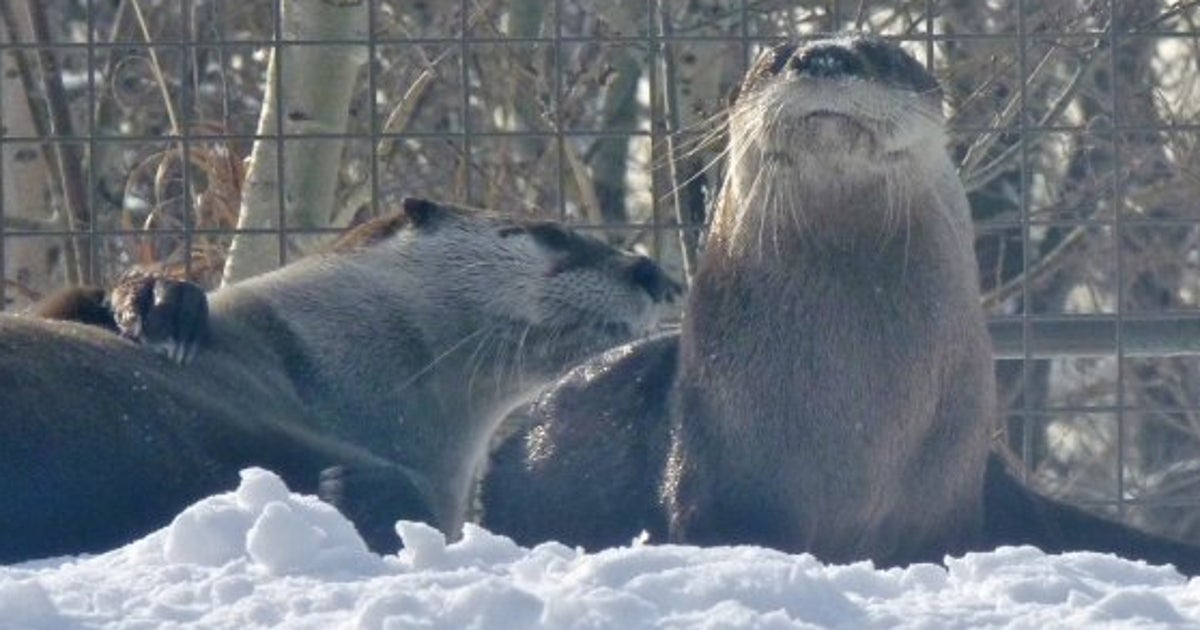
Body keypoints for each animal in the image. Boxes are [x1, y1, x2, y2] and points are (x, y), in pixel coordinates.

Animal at [477, 35, 1200, 574]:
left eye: (883, 54)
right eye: (775, 59)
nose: (822, 56)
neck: (857, 422)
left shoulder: (950, 497)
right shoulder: (715, 475)